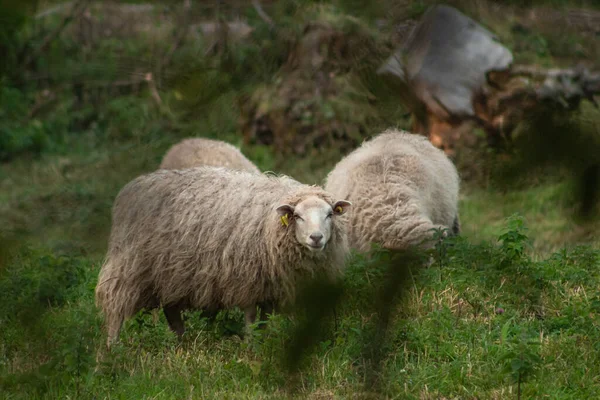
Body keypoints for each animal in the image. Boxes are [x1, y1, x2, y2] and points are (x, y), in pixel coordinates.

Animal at [94, 166, 352, 346]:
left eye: (330, 214)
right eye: (297, 216)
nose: (316, 238)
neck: (271, 224)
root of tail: (132, 187)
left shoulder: (271, 286)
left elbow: (265, 319)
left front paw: (263, 342)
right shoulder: (246, 279)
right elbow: (251, 317)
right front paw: (251, 347)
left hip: (169, 274)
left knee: (172, 312)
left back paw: (181, 346)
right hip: (128, 268)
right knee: (115, 310)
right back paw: (109, 355)